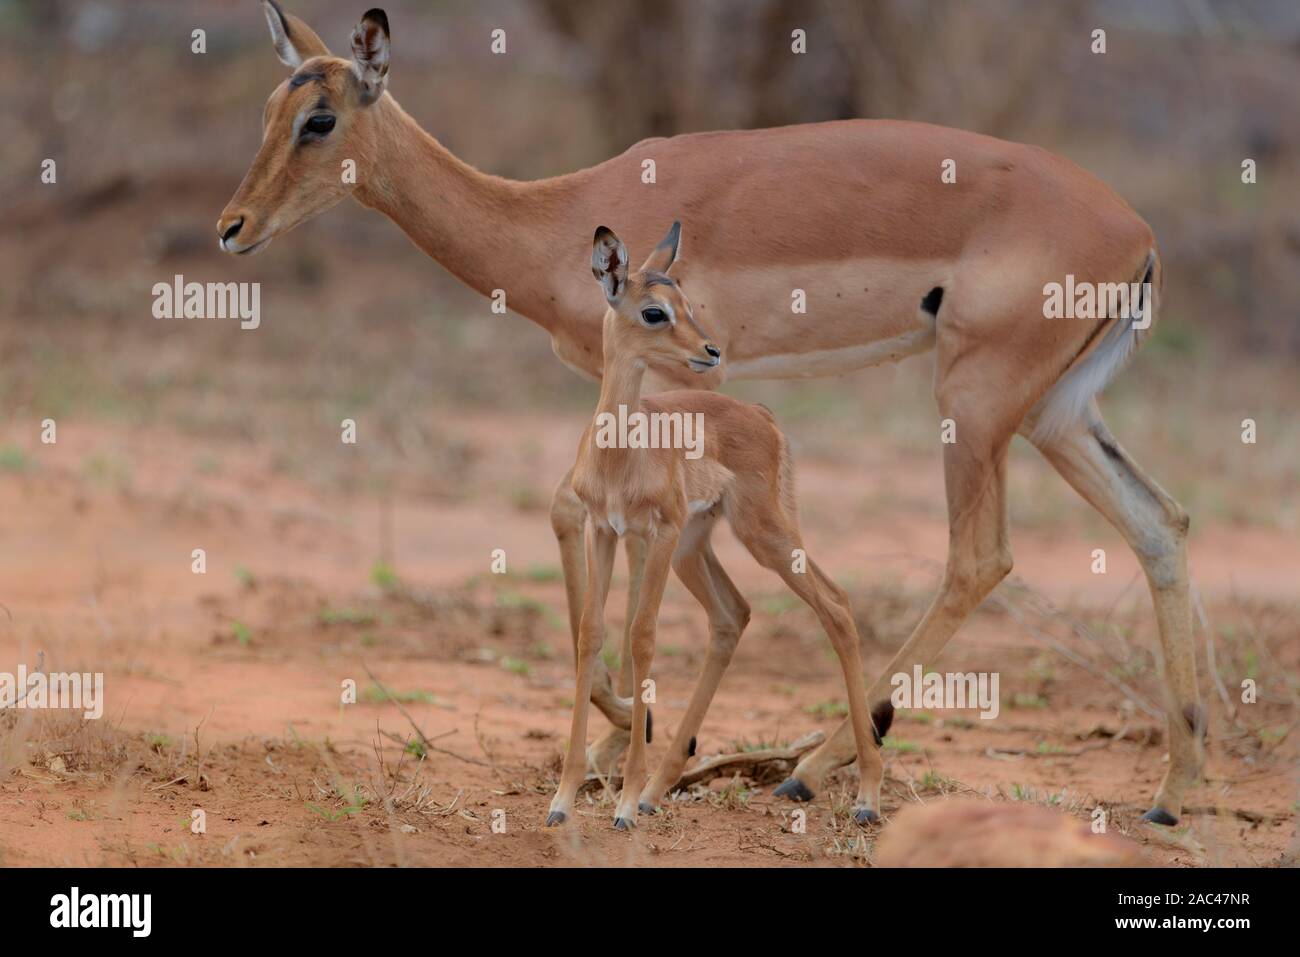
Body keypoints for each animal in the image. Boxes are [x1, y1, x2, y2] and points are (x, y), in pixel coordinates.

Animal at [546, 221, 886, 828]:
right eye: (654, 311)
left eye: (688, 302)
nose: (711, 351)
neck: (620, 452)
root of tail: (762, 415)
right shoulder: (605, 531)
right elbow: (591, 635)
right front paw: (563, 801)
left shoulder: (654, 533)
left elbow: (643, 636)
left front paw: (623, 805)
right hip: (695, 547)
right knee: (733, 615)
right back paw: (659, 789)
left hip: (762, 534)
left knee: (836, 604)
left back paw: (864, 796)